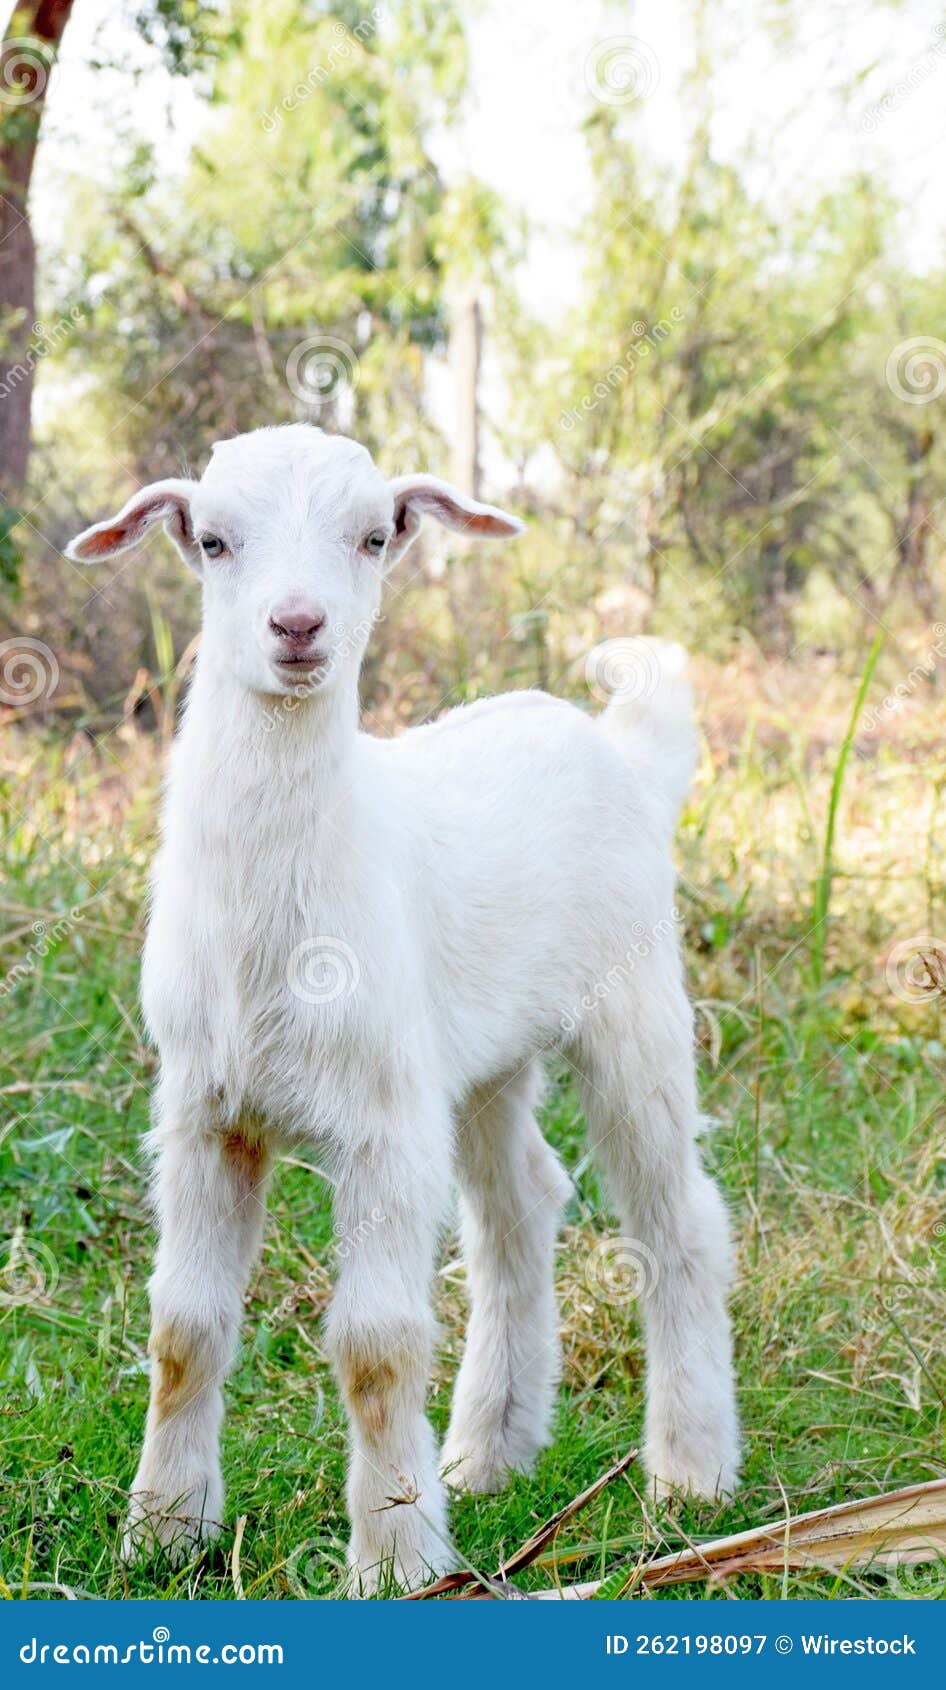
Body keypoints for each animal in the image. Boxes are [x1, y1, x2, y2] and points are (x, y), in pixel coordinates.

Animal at [67, 424, 738, 1593]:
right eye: (212, 539)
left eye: (374, 535)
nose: (298, 626)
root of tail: (618, 747)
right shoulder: (203, 1110)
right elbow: (183, 1326)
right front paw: (163, 1529)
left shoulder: (381, 1125)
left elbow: (375, 1346)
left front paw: (395, 1557)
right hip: (479, 1063)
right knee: (521, 1204)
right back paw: (487, 1453)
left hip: (635, 1006)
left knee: (676, 1221)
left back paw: (692, 1471)